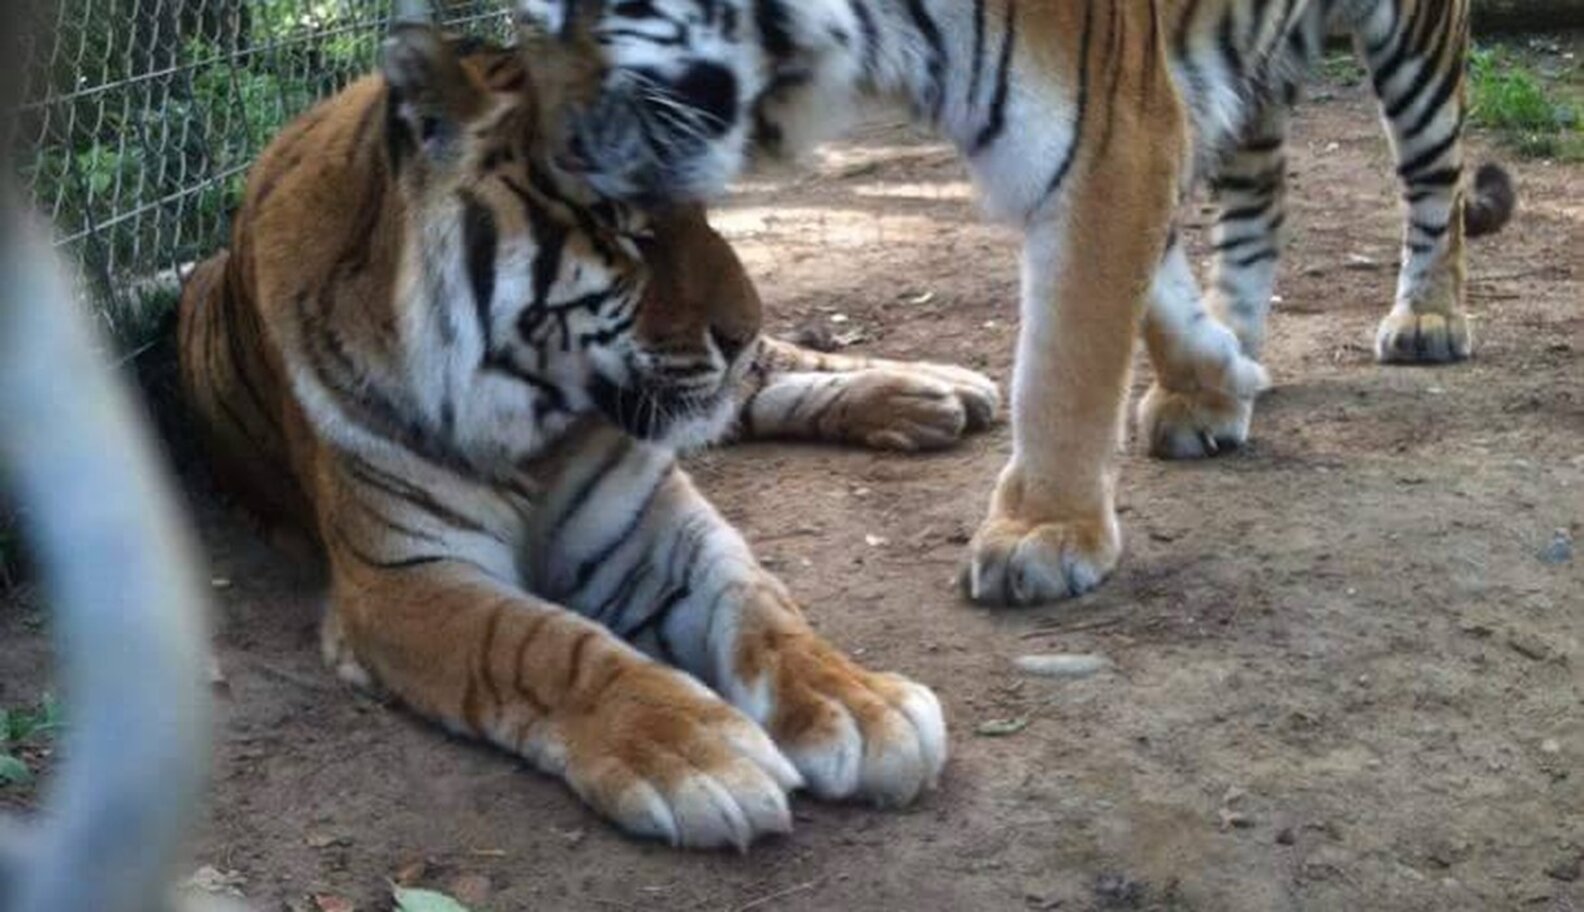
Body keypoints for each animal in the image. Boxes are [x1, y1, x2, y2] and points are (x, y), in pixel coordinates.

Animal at [176, 21, 1003, 848]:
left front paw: (859, 704)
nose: (742, 329)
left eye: (705, 207)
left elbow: (763, 605)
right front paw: (697, 752)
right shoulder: (402, 577)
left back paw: (940, 390)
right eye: (626, 226)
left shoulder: (655, 524)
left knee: (776, 374)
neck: (535, 424)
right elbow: (541, 645)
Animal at [513, 0, 1518, 606]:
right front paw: (1217, 376)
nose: (543, 153)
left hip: (1416, 49)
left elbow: (1068, 359)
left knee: (1434, 175)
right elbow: (1153, 286)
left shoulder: (1113, 130)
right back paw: (1236, 349)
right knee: (1259, 201)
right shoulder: (1129, 131)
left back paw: (1429, 318)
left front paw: (1044, 530)